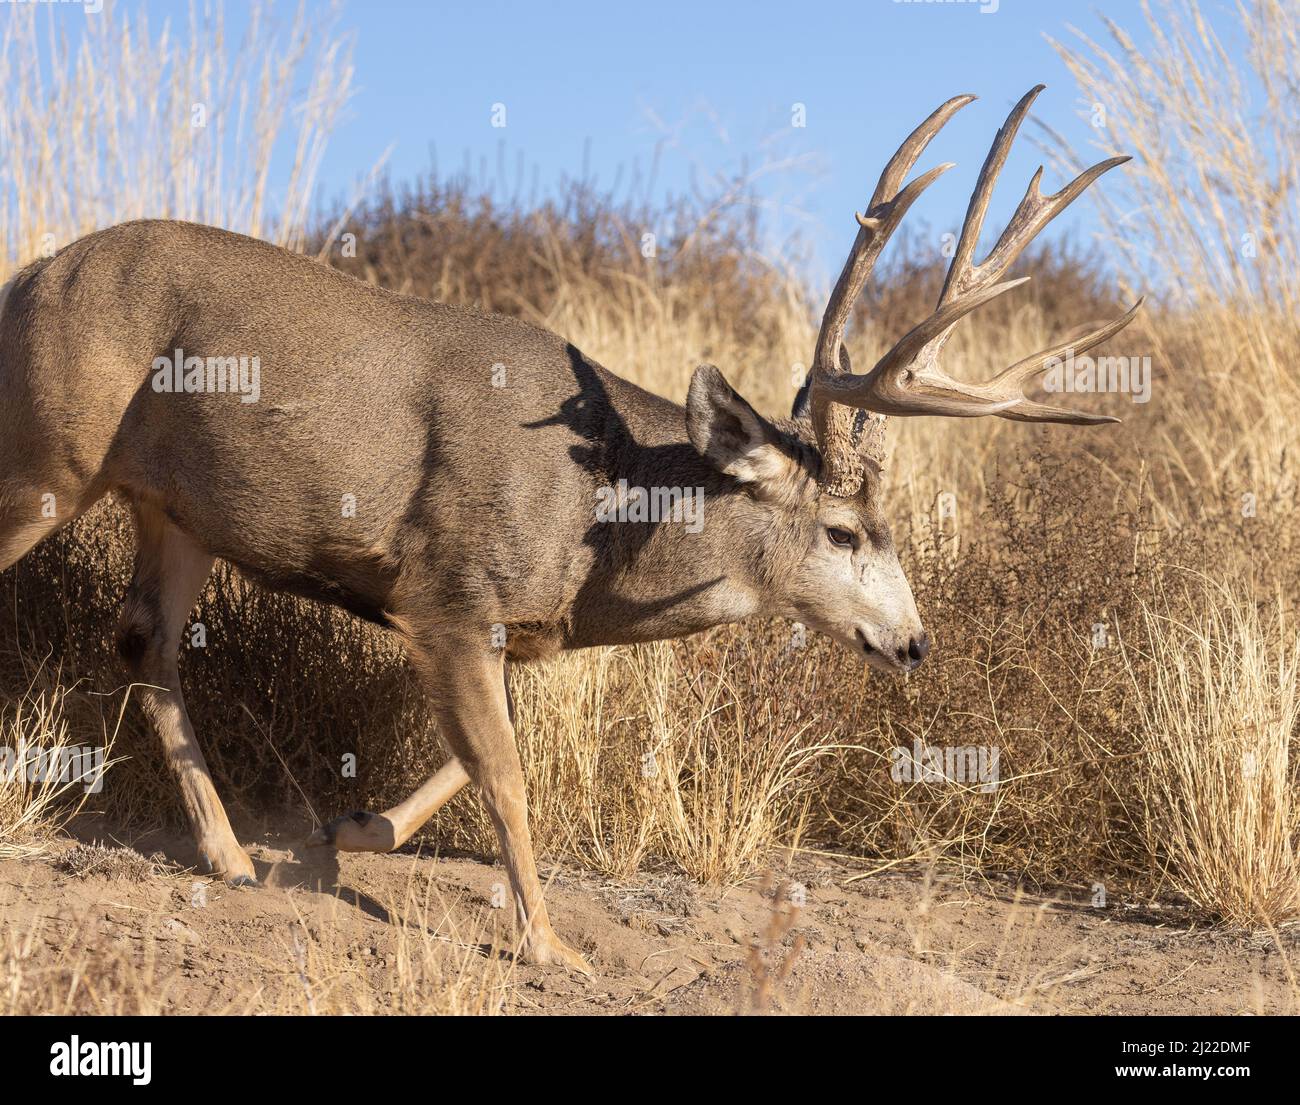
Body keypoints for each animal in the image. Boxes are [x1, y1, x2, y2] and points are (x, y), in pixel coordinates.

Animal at [0, 86, 1139, 971]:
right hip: (50, 458)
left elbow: (476, 755)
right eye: (845, 531)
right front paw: (549, 943)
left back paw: (231, 857)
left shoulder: (508, 624)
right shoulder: (448, 588)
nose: (913, 642)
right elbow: (506, 774)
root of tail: (28, 278)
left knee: (145, 639)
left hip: (174, 508)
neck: (597, 522)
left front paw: (349, 831)